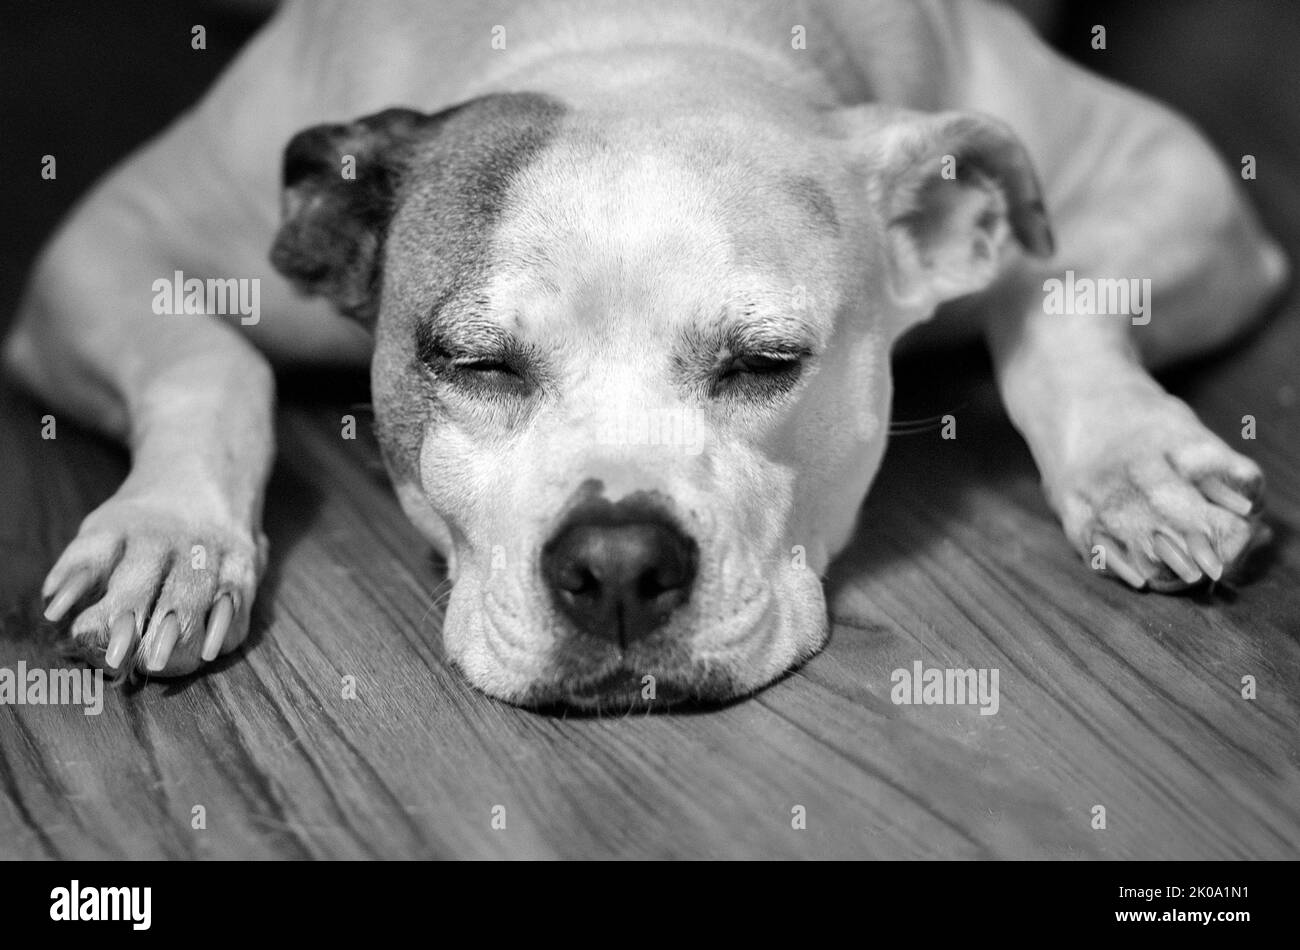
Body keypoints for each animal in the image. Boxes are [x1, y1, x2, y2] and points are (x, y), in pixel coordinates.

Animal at [5, 0, 1284, 706]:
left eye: (766, 362)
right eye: (474, 362)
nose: (616, 564)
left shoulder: (1173, 172)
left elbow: (1057, 291)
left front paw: (1138, 466)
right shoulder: (104, 244)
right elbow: (213, 363)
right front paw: (169, 538)